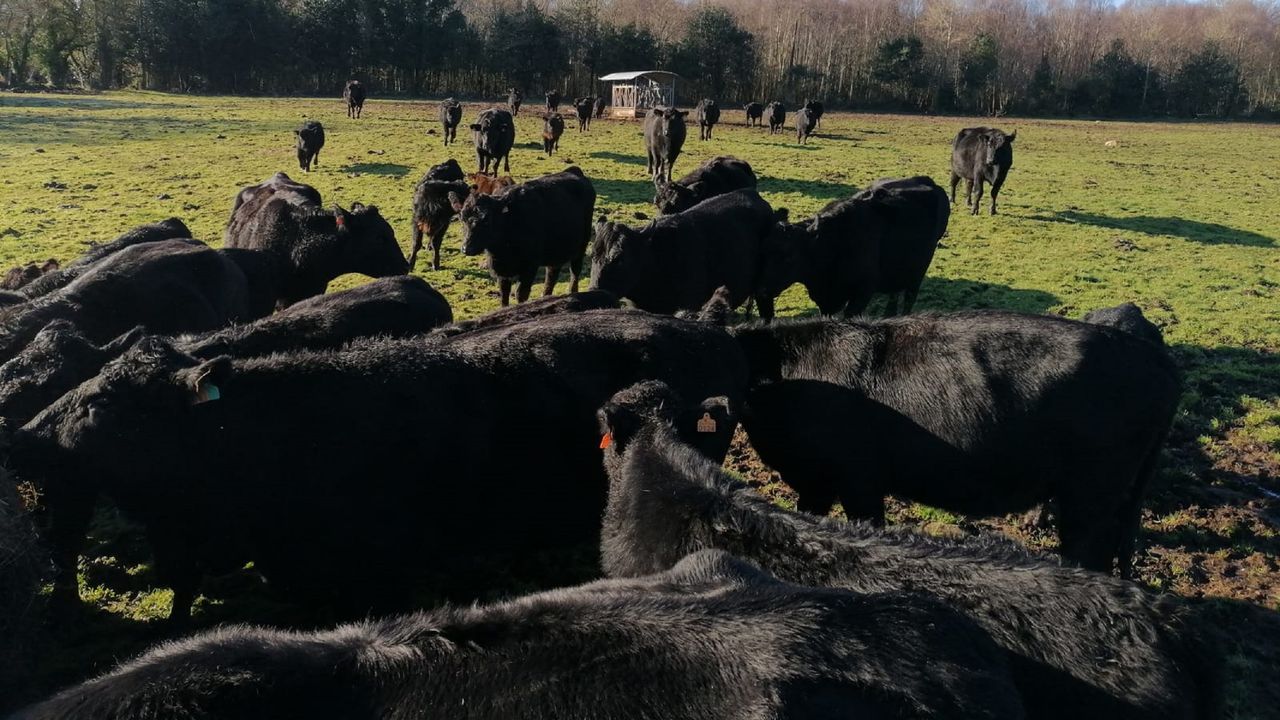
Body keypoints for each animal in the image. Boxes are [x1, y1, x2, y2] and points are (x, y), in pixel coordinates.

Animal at [449, 167, 595, 305]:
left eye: (486, 219)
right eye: (462, 218)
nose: (466, 248)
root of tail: (574, 172)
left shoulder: (530, 266)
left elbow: (521, 294)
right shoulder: (501, 271)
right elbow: (504, 294)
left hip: (582, 243)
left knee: (575, 270)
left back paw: (572, 291)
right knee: (552, 274)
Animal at [758, 176, 948, 317]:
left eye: (789, 256)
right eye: (764, 251)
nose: (761, 289)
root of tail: (926, 180)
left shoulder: (863, 292)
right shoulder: (826, 299)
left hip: (919, 270)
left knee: (909, 298)